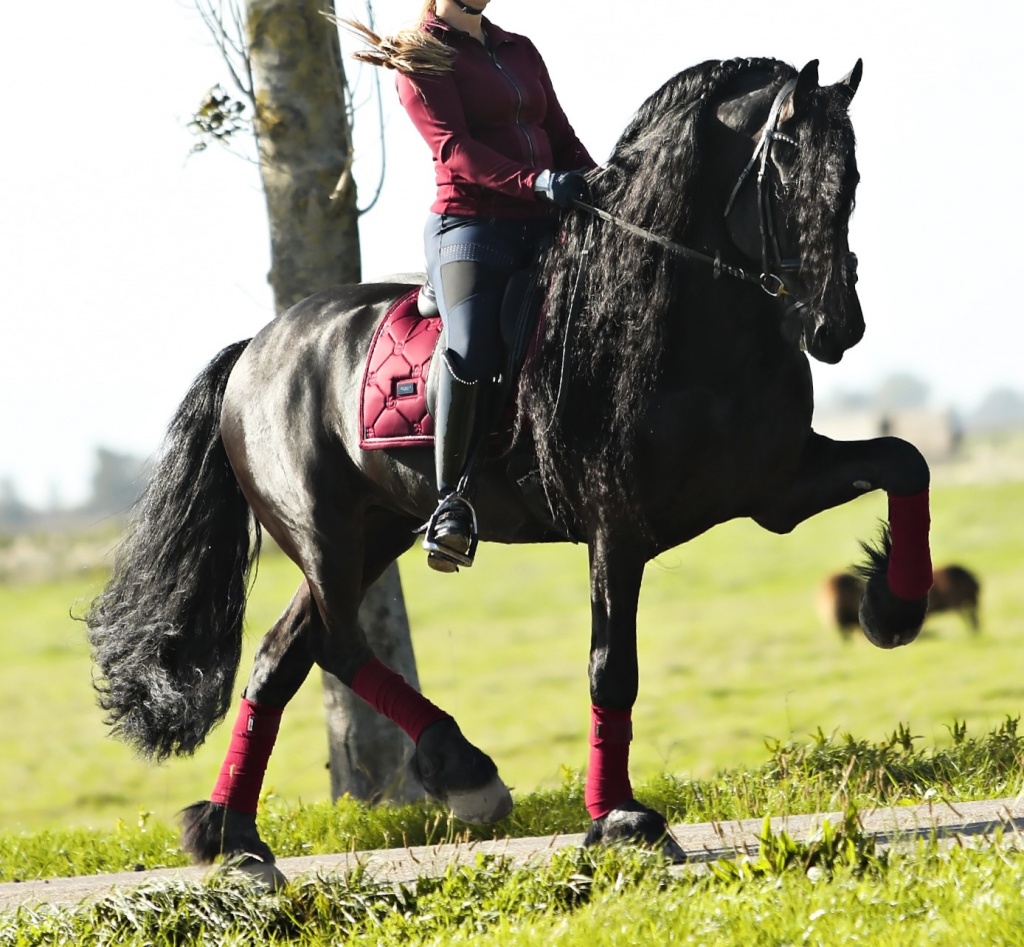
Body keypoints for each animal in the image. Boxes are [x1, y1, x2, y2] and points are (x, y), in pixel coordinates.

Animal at [85, 57, 935, 877]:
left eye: (852, 175)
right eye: (785, 165)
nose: (836, 326)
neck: (676, 313)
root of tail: (254, 350)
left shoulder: (775, 485)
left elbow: (907, 461)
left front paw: (893, 607)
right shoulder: (615, 524)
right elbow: (611, 667)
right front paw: (621, 820)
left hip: (377, 528)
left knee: (279, 659)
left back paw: (235, 836)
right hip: (324, 529)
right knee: (337, 644)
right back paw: (463, 772)